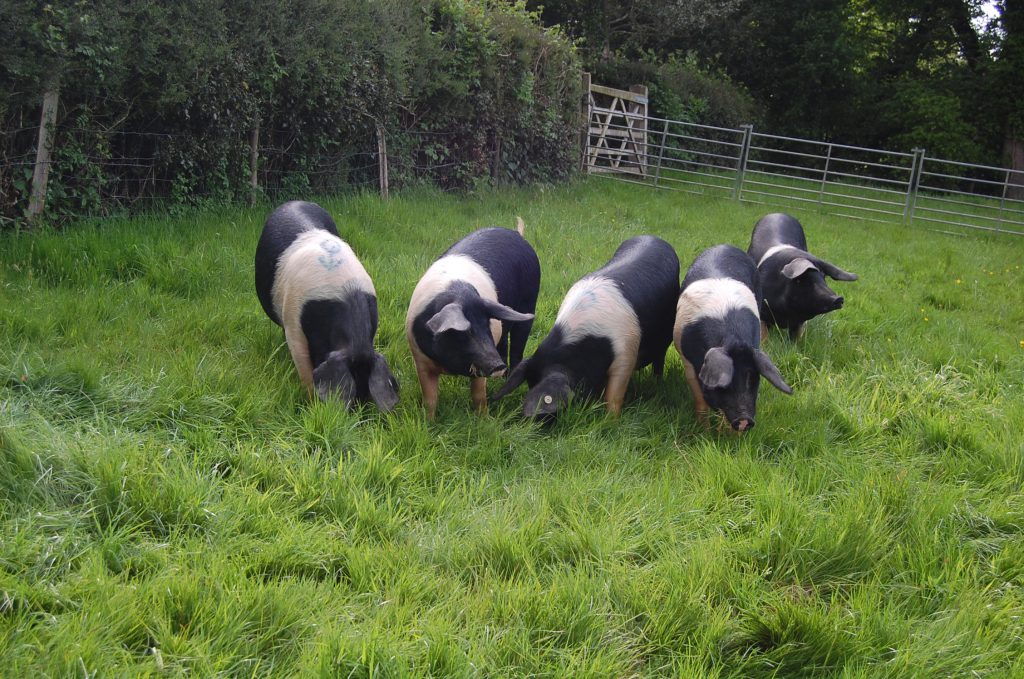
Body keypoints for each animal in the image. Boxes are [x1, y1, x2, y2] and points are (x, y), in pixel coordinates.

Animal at [406, 221, 540, 418]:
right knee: (503, 344)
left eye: (486, 325)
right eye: (464, 333)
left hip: (529, 302)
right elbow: (430, 397)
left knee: (517, 347)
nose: (496, 366)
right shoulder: (420, 360)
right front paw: (428, 420)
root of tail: (517, 234)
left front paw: (484, 419)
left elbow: (478, 394)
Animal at [492, 235, 679, 419]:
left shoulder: (626, 351)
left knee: (659, 360)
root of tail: (655, 238)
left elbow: (614, 393)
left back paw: (657, 382)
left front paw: (610, 419)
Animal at [674, 244, 792, 432]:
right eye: (725, 385)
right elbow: (700, 400)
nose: (744, 421)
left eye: (753, 378)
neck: (731, 338)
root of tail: (723, 245)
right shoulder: (686, 357)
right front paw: (704, 431)